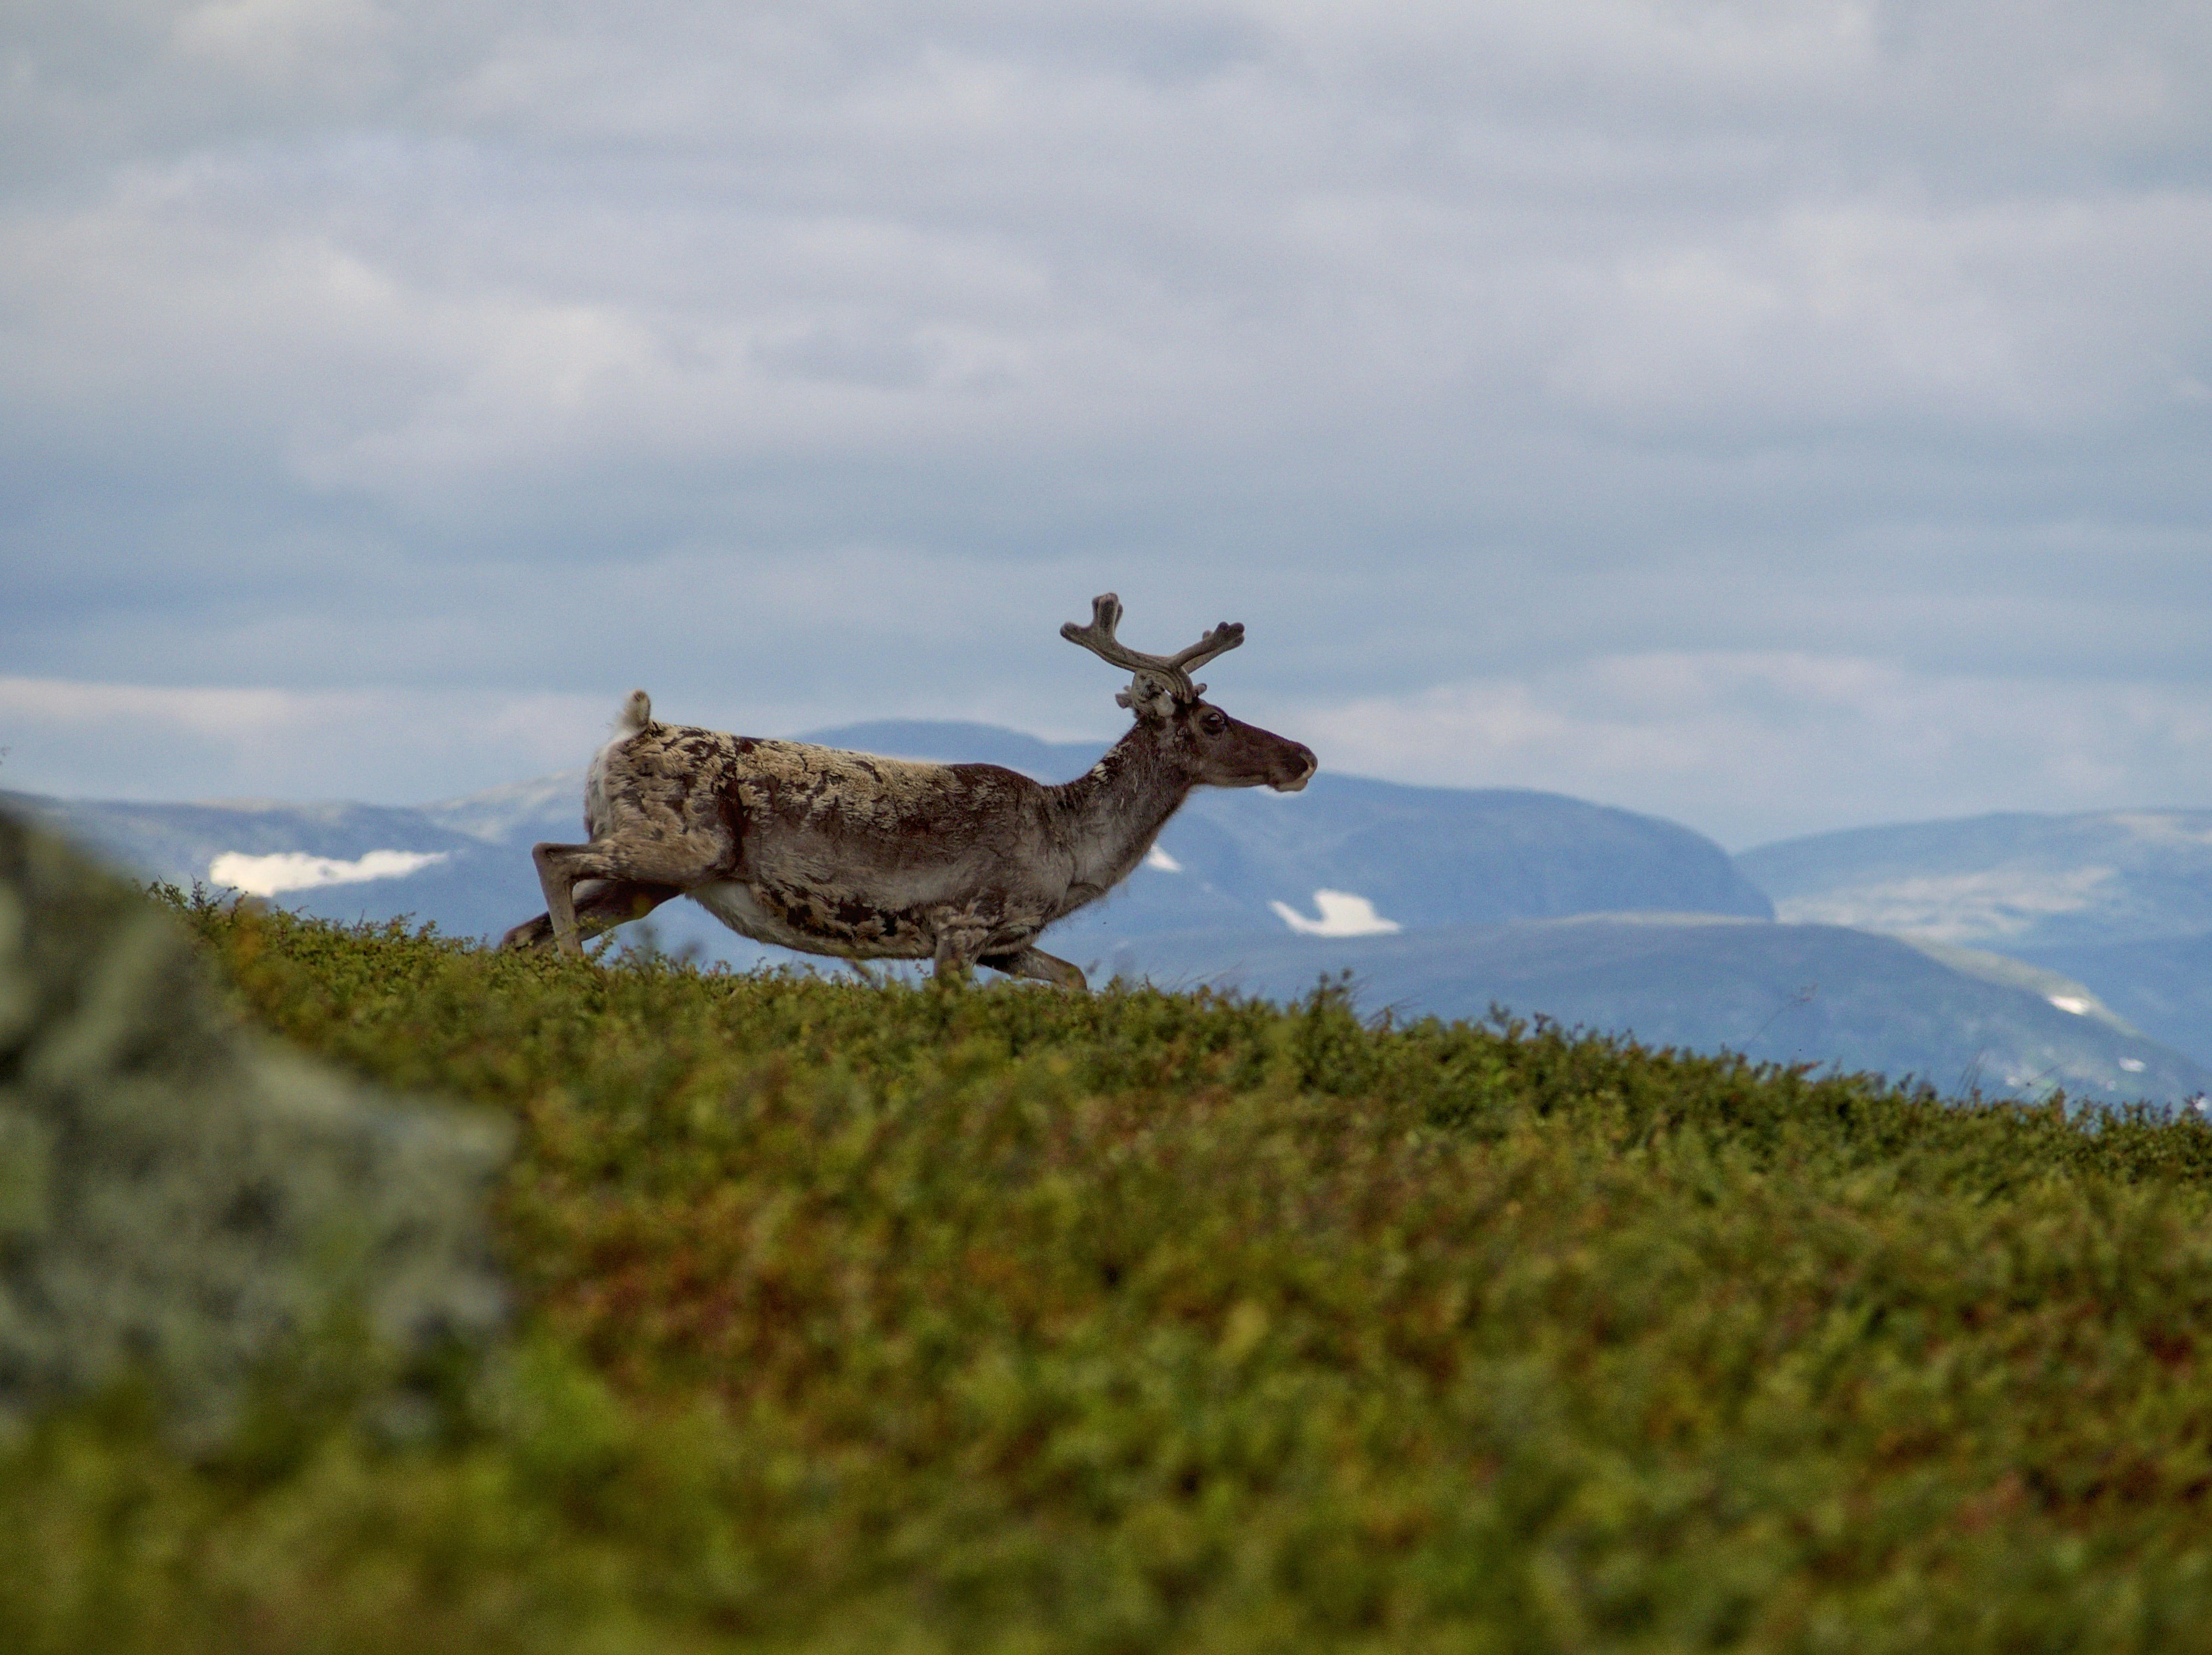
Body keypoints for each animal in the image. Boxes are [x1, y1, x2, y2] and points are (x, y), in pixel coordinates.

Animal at [499, 593, 1317, 988]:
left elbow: (1077, 977)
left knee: (520, 929)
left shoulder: (1010, 943)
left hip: (652, 880)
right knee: (548, 854)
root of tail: (624, 733)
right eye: (1213, 720)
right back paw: (580, 976)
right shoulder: (964, 924)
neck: (1072, 850)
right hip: (673, 847)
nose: (1305, 757)